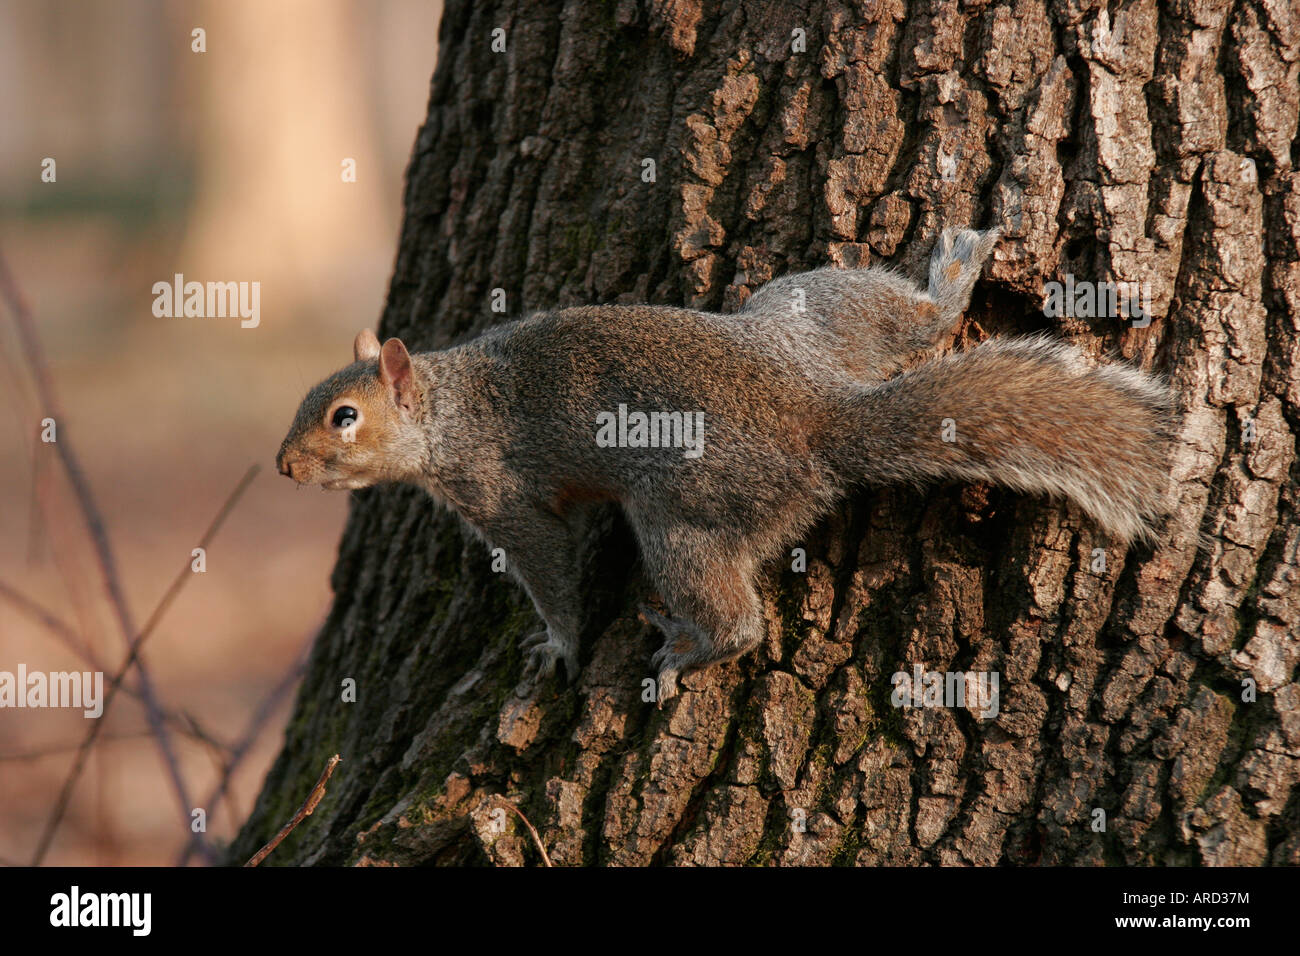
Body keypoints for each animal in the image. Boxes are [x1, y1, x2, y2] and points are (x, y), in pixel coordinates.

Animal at [277, 227, 1173, 702]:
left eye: (343, 417)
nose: (284, 467)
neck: (450, 406)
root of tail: (816, 412)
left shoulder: (505, 498)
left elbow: (552, 571)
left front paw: (558, 648)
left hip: (684, 514)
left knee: (737, 616)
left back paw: (690, 644)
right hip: (809, 312)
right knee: (909, 323)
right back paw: (951, 280)